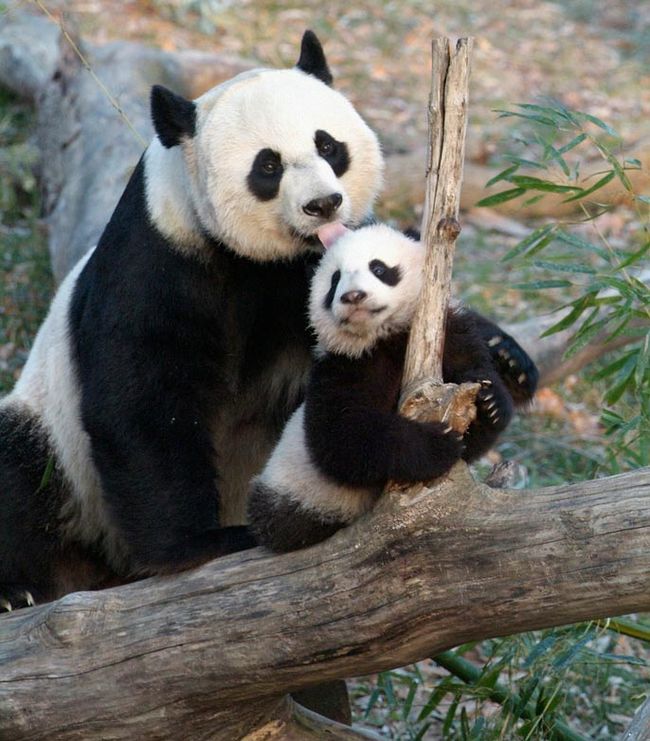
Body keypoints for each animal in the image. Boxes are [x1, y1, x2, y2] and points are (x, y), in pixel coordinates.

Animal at [247, 223, 535, 553]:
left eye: (379, 268)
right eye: (334, 280)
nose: (353, 296)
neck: (388, 336)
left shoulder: (451, 336)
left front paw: (490, 403)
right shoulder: (347, 366)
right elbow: (344, 438)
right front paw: (437, 444)